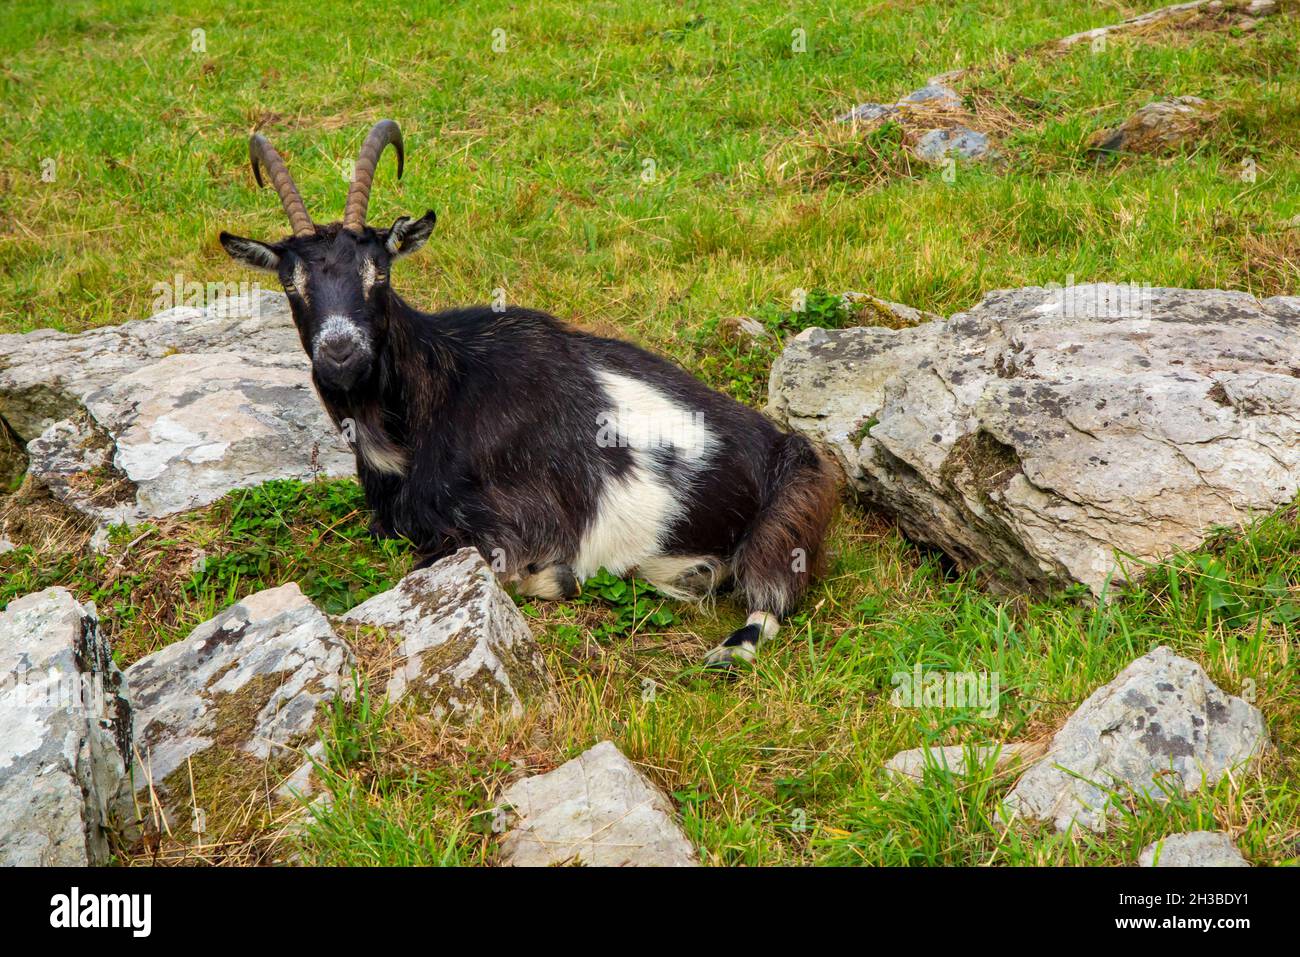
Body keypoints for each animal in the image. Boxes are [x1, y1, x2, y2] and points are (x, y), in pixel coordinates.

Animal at [220, 121, 837, 666]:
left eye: (381, 273)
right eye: (290, 283)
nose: (341, 354)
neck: (429, 402)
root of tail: (780, 444)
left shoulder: (511, 524)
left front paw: (557, 574)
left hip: (791, 510)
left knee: (771, 594)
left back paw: (729, 643)